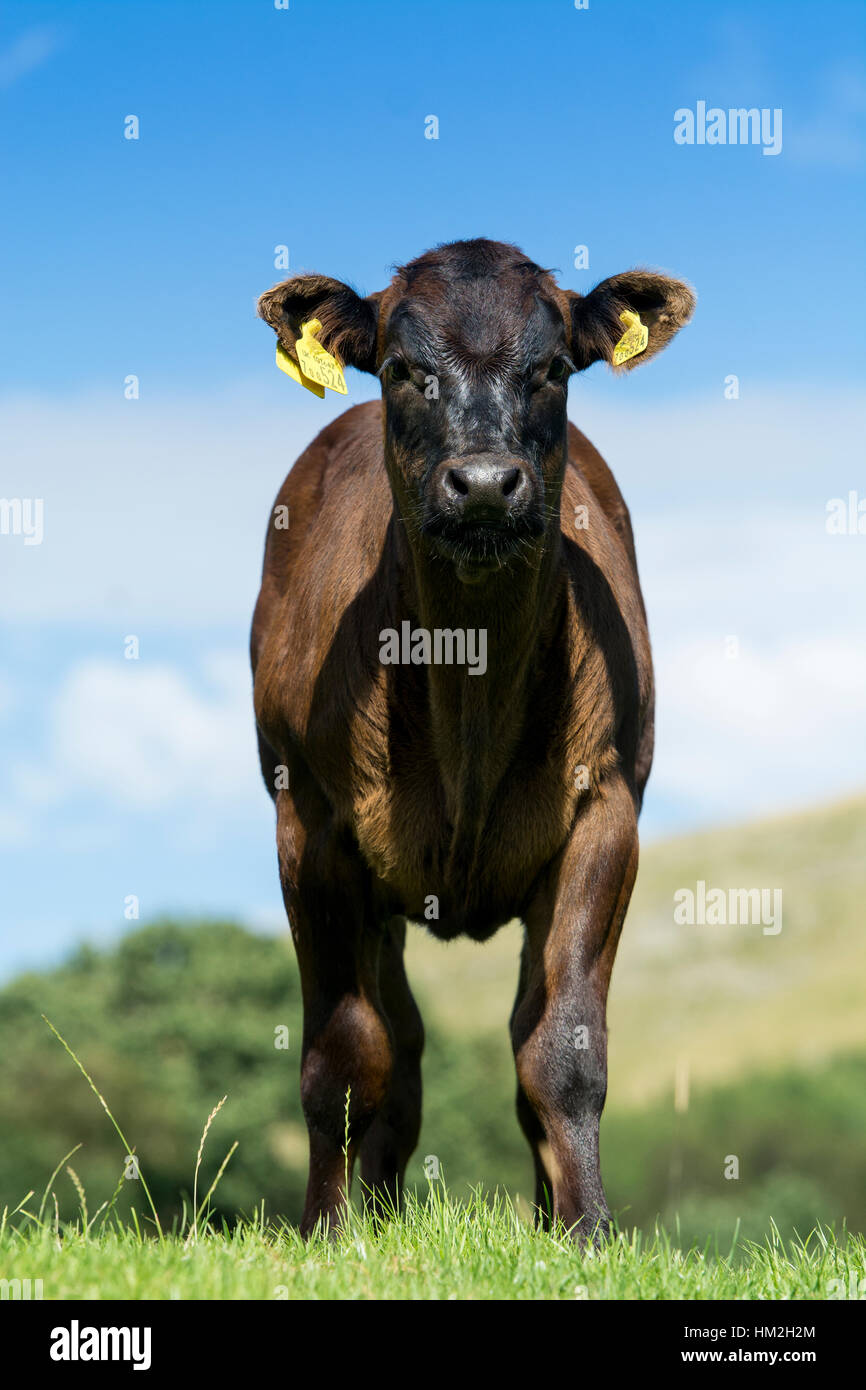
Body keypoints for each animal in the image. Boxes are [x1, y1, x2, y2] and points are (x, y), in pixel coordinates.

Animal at [251, 238, 694, 1241]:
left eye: (555, 368)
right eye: (402, 369)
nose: (487, 485)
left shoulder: (605, 816)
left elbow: (561, 1048)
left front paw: (584, 1231)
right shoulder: (313, 830)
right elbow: (346, 1057)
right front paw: (327, 1231)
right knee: (400, 1054)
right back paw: (373, 1217)